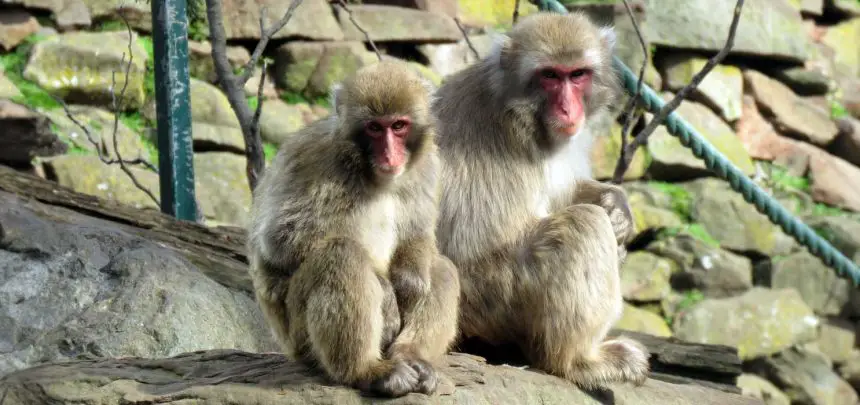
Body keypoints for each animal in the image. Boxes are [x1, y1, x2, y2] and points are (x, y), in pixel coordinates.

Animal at [246, 60, 460, 398]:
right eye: (374, 127)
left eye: (398, 126)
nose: (390, 154)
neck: (368, 171)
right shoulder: (314, 160)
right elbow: (279, 240)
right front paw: (385, 293)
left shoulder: (428, 165)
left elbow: (419, 233)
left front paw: (410, 280)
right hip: (299, 336)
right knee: (339, 254)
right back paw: (368, 371)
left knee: (441, 267)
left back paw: (412, 357)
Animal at [430, 12, 648, 390]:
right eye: (549, 76)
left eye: (577, 74)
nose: (567, 108)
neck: (525, 114)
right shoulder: (500, 136)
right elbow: (475, 241)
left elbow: (566, 191)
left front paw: (617, 204)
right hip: (486, 302)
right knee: (584, 225)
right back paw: (578, 361)